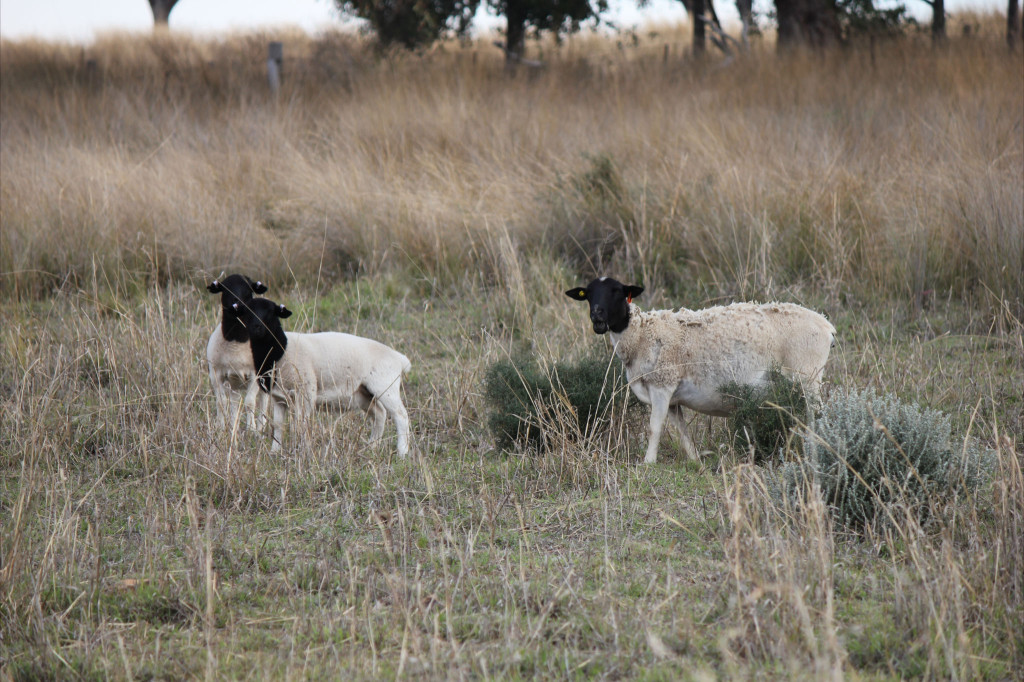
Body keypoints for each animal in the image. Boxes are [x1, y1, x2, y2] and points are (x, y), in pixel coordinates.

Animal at [206, 274, 269, 430]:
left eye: (248, 289)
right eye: (225, 288)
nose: (237, 304)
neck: (236, 340)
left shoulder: (254, 374)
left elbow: (250, 402)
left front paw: (251, 429)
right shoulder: (215, 374)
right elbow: (221, 402)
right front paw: (221, 428)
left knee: (263, 400)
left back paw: (261, 426)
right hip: (235, 381)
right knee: (235, 401)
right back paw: (234, 425)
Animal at [234, 296, 413, 457]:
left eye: (271, 313)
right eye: (247, 312)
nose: (256, 328)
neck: (279, 350)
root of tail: (399, 358)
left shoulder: (305, 392)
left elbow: (301, 423)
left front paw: (302, 451)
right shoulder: (279, 397)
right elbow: (278, 425)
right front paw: (275, 452)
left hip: (385, 386)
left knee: (400, 415)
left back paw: (402, 452)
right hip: (363, 393)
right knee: (379, 414)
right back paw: (371, 447)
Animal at [565, 277, 836, 463]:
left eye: (617, 292)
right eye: (588, 294)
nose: (597, 316)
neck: (641, 334)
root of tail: (827, 326)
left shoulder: (662, 384)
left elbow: (655, 426)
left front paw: (648, 462)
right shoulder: (673, 398)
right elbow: (683, 431)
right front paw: (695, 461)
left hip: (807, 377)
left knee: (817, 417)